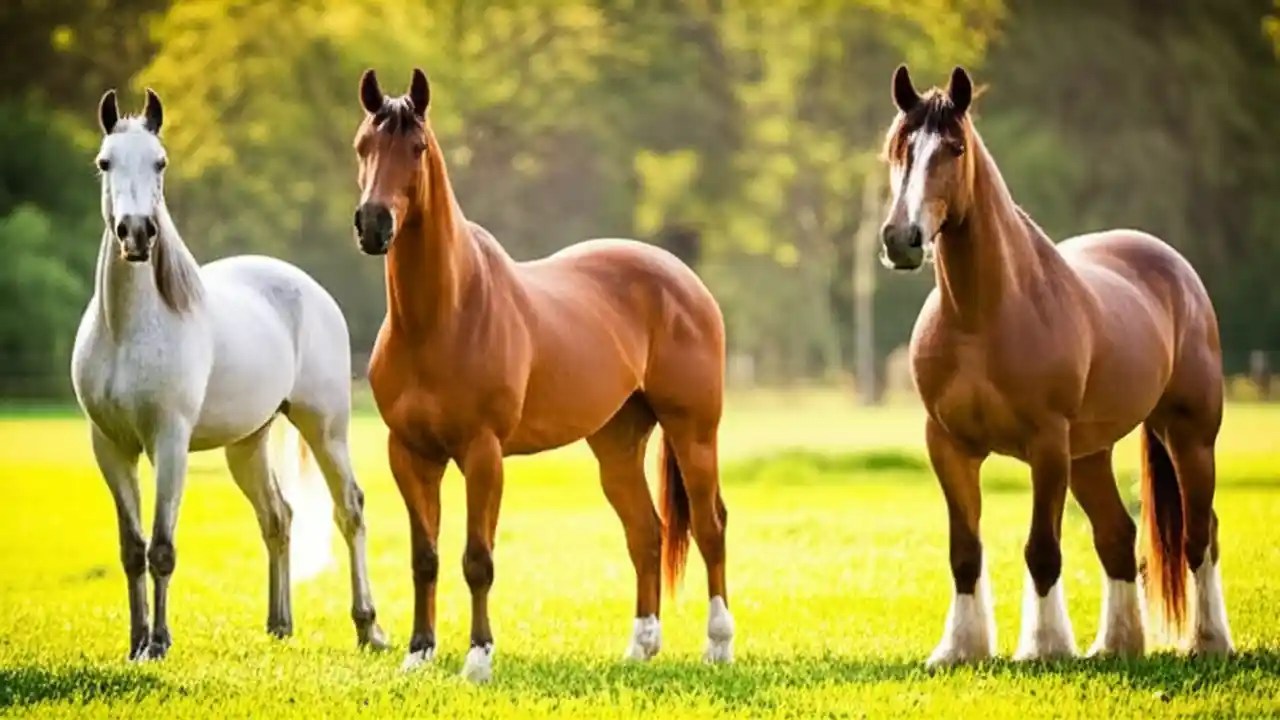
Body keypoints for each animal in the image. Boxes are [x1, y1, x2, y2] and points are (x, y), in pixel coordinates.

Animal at [71, 88, 388, 660]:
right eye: (105, 162)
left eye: (160, 162)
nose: (137, 233)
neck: (129, 330)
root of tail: (309, 287)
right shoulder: (110, 446)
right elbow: (131, 549)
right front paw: (135, 644)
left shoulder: (169, 443)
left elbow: (161, 548)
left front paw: (159, 644)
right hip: (247, 445)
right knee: (277, 517)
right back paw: (280, 623)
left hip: (325, 429)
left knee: (349, 509)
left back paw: (368, 627)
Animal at [349, 68, 734, 682]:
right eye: (363, 145)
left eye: (418, 148)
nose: (373, 223)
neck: (441, 316)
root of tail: (683, 278)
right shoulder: (409, 454)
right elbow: (425, 557)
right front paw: (419, 652)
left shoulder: (483, 454)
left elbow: (477, 559)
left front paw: (478, 659)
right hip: (616, 444)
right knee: (645, 532)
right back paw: (641, 646)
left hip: (693, 430)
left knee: (709, 525)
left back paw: (718, 644)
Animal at [878, 65, 1234, 665]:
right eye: (898, 148)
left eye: (953, 148)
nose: (902, 240)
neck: (982, 316)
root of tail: (1173, 266)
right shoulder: (948, 445)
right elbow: (964, 551)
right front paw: (961, 648)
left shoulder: (1045, 445)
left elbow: (1041, 548)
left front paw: (1044, 647)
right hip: (1089, 455)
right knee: (1118, 536)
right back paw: (1115, 645)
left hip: (1188, 436)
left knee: (1198, 533)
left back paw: (1209, 641)